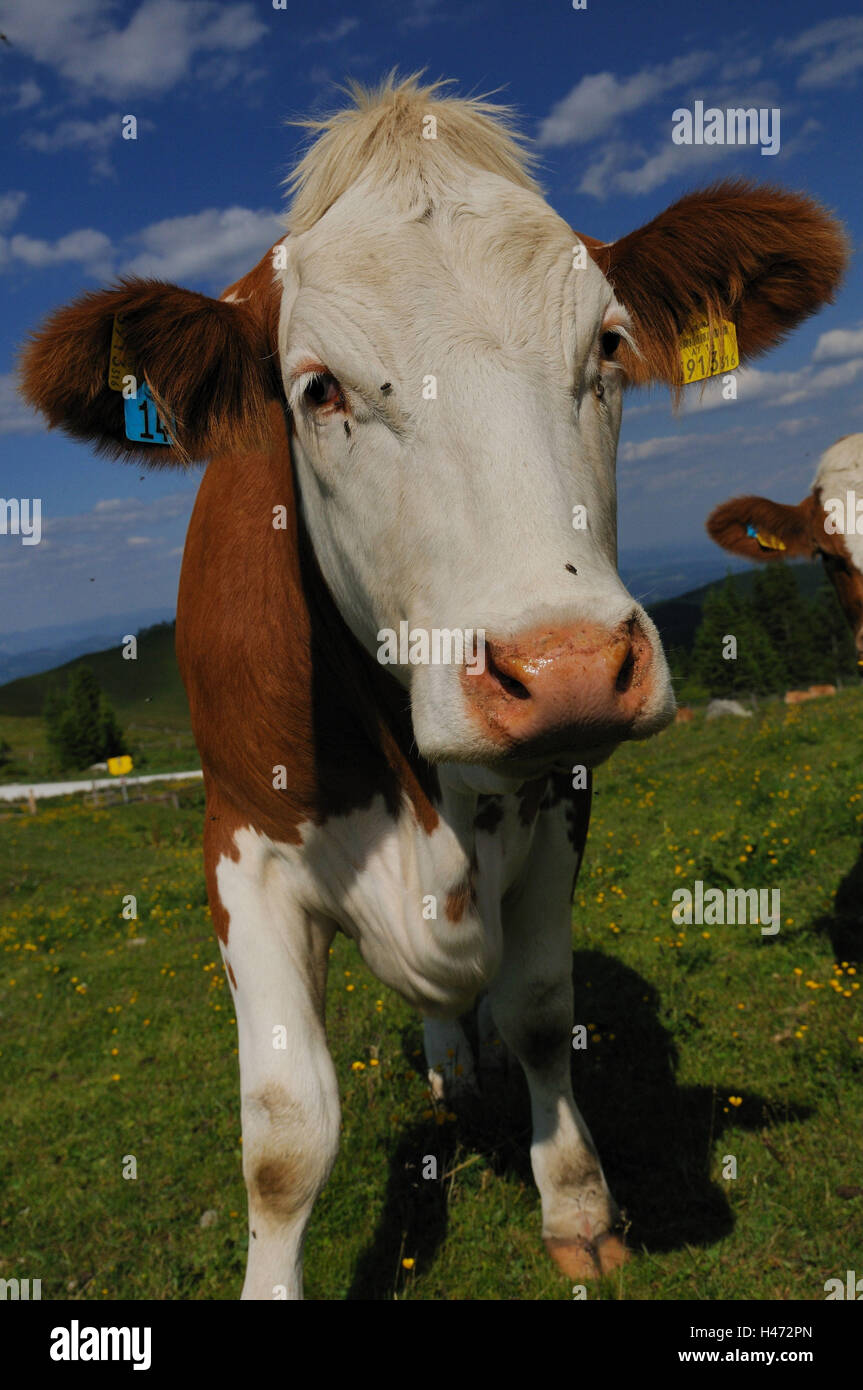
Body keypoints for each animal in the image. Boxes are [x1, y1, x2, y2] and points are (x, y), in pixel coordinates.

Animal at [19, 76, 847, 1299]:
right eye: (316, 390)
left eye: (607, 345)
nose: (562, 668)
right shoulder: (239, 845)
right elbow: (284, 1131)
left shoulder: (562, 799)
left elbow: (544, 1012)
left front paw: (577, 1204)